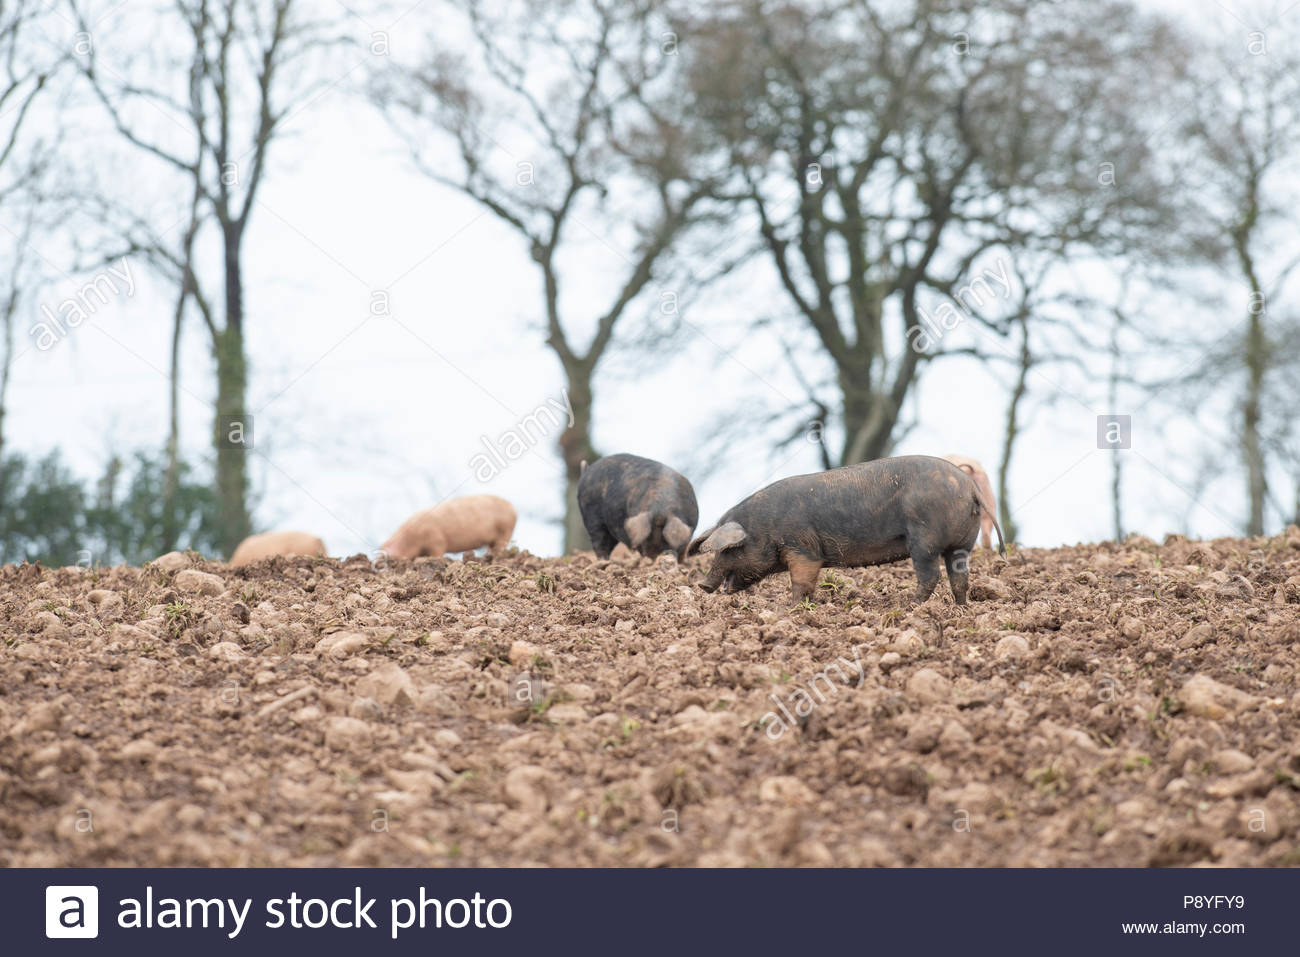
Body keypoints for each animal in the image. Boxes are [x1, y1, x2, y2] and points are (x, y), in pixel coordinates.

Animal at [687, 454, 1005, 604]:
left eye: (729, 550)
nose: (702, 585)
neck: (764, 527)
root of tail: (969, 486)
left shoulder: (802, 548)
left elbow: (801, 582)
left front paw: (789, 608)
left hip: (924, 541)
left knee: (930, 577)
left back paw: (910, 607)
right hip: (962, 544)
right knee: (959, 578)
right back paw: (960, 608)